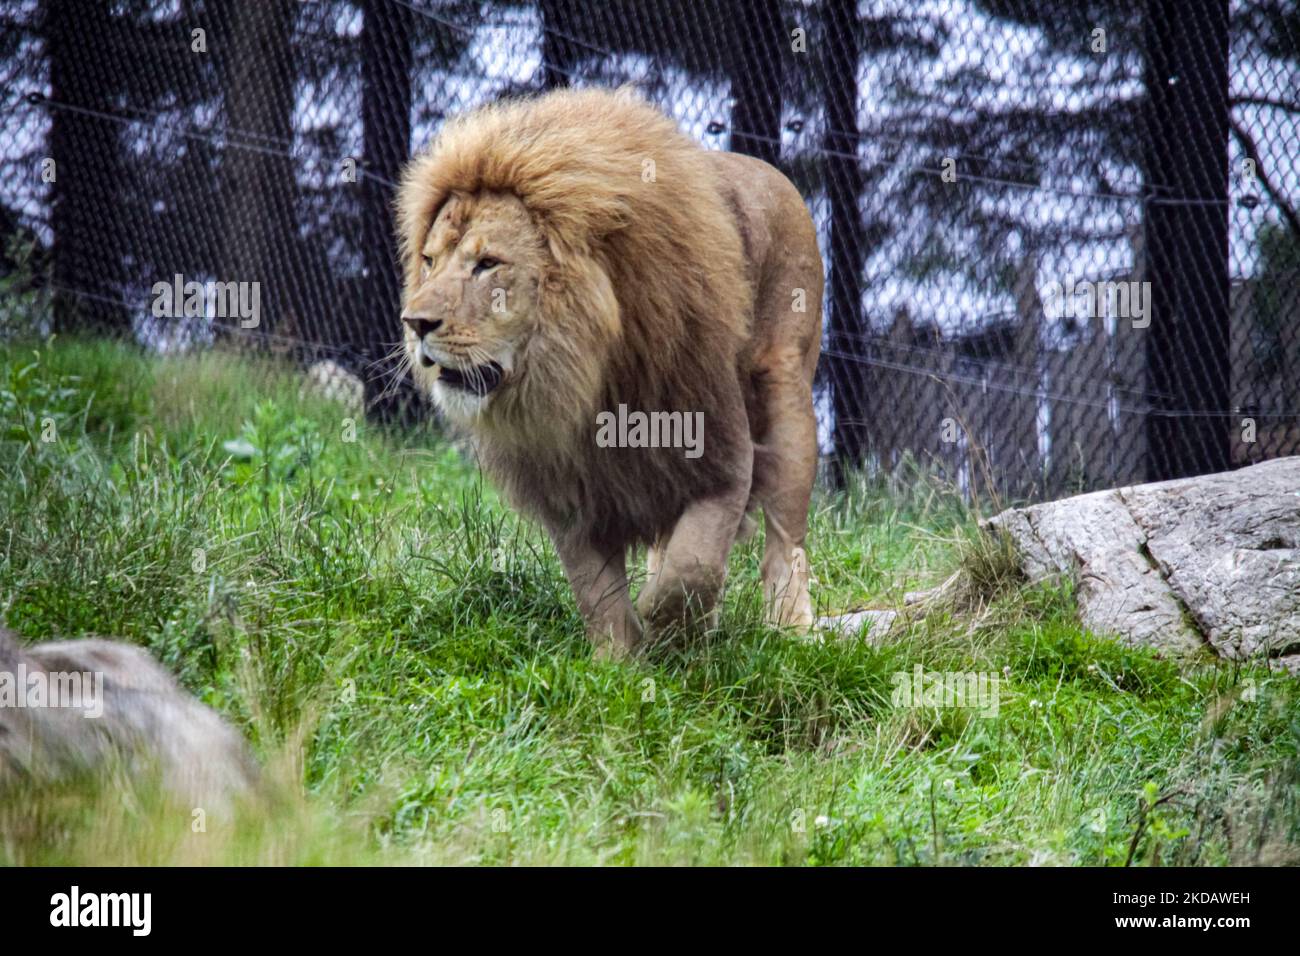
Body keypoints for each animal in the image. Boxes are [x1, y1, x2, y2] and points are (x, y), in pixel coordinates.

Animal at [396, 88, 823, 659]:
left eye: (488, 264)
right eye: (428, 261)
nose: (415, 323)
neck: (586, 377)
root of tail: (771, 171)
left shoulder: (724, 455)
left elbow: (694, 565)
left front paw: (668, 627)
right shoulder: (571, 489)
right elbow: (597, 592)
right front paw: (617, 664)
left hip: (787, 397)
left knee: (786, 540)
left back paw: (789, 630)